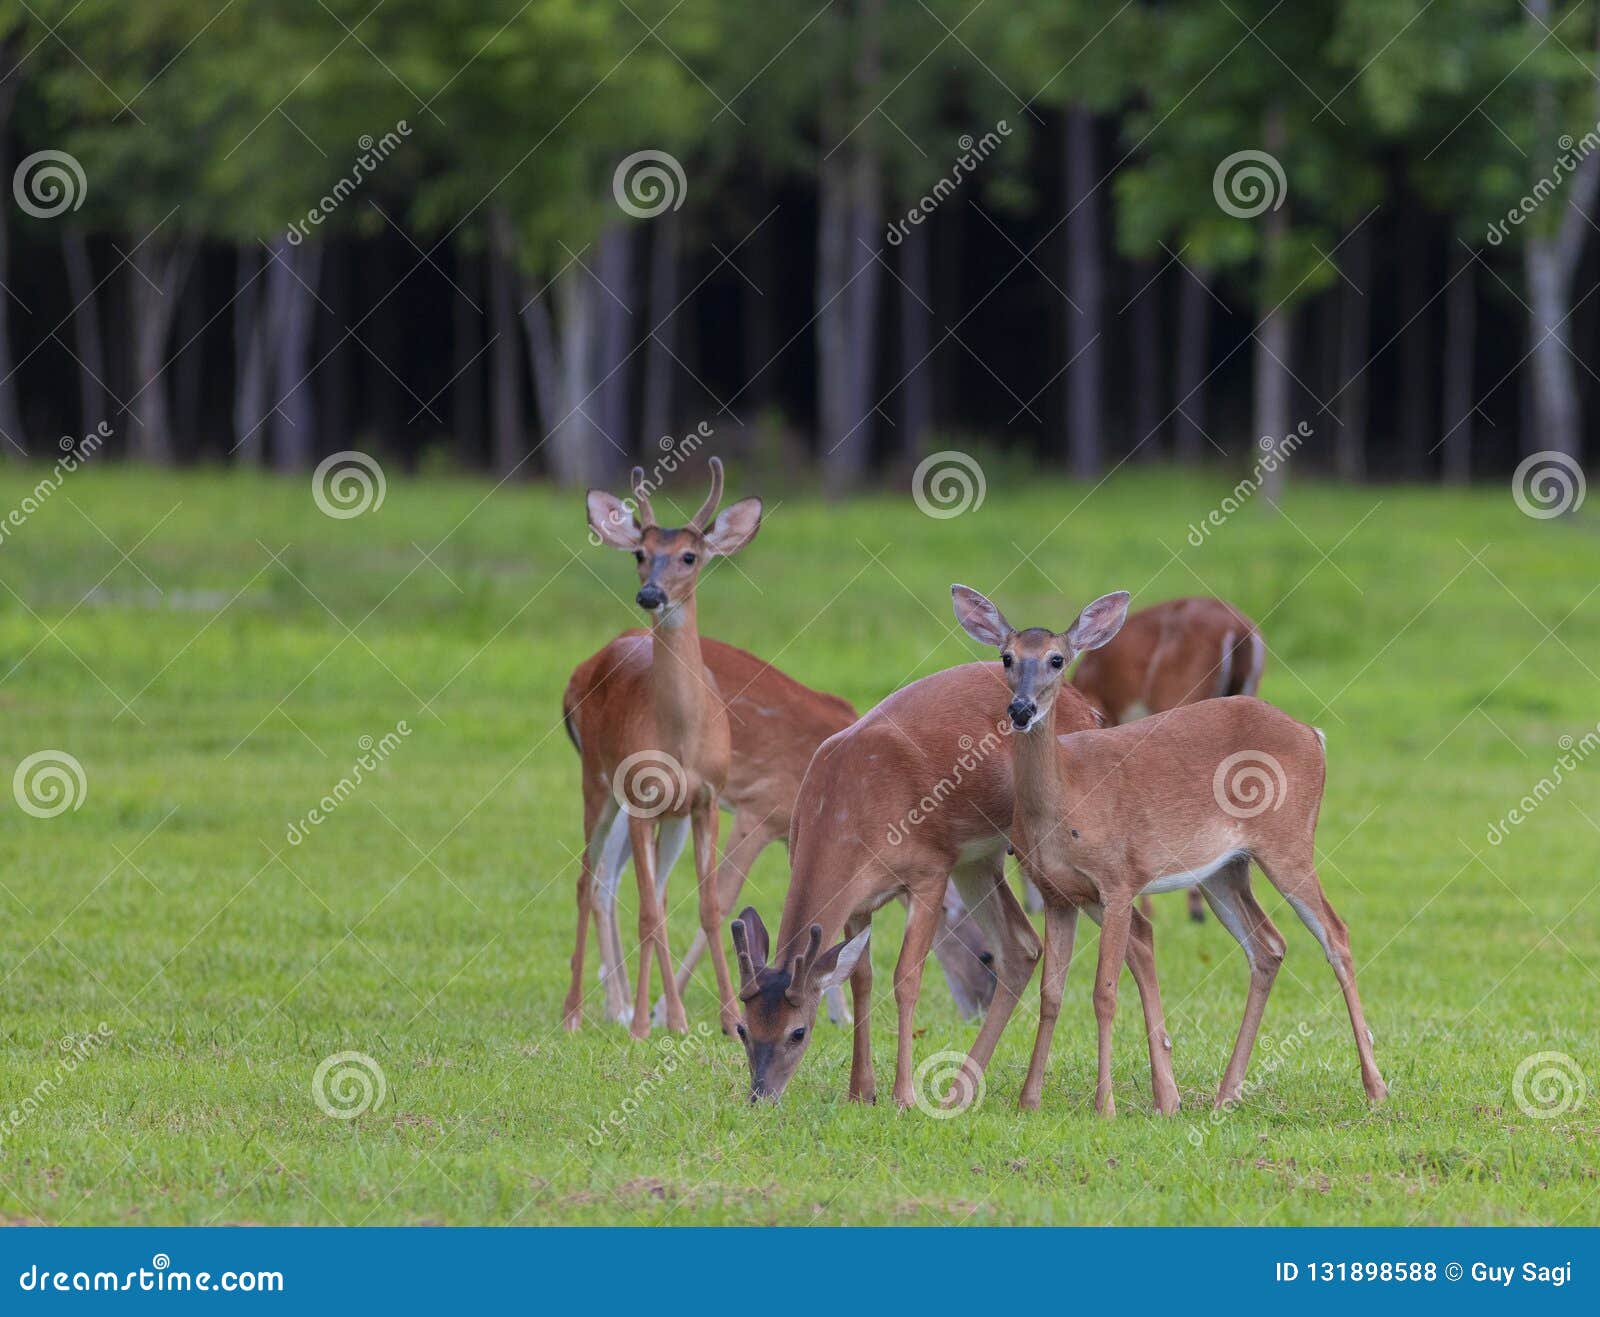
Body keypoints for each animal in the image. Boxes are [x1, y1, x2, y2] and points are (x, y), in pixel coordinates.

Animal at [562, 458, 760, 1038]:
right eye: (639, 554)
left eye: (689, 556)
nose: (651, 595)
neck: (680, 738)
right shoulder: (641, 798)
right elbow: (647, 913)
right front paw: (648, 1026)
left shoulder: (706, 798)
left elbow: (708, 907)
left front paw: (730, 1018)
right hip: (598, 784)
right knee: (589, 882)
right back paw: (578, 1013)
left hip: (668, 819)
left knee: (656, 894)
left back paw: (660, 1014)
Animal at [564, 636, 998, 1030]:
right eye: (986, 955)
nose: (979, 1010)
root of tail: (574, 678)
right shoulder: (759, 809)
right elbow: (724, 897)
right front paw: (666, 1013)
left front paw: (836, 1012)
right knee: (603, 876)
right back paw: (618, 1009)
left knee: (616, 879)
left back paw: (616, 1005)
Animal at [726, 659, 1179, 1110]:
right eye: (742, 1029)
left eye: (798, 1032)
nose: (760, 1096)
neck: (848, 812)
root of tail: (1090, 711)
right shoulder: (860, 902)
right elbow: (861, 977)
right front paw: (861, 1091)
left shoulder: (930, 869)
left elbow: (906, 978)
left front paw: (904, 1095)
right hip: (978, 862)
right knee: (1027, 946)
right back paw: (962, 1090)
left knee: (1128, 930)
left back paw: (1161, 1097)